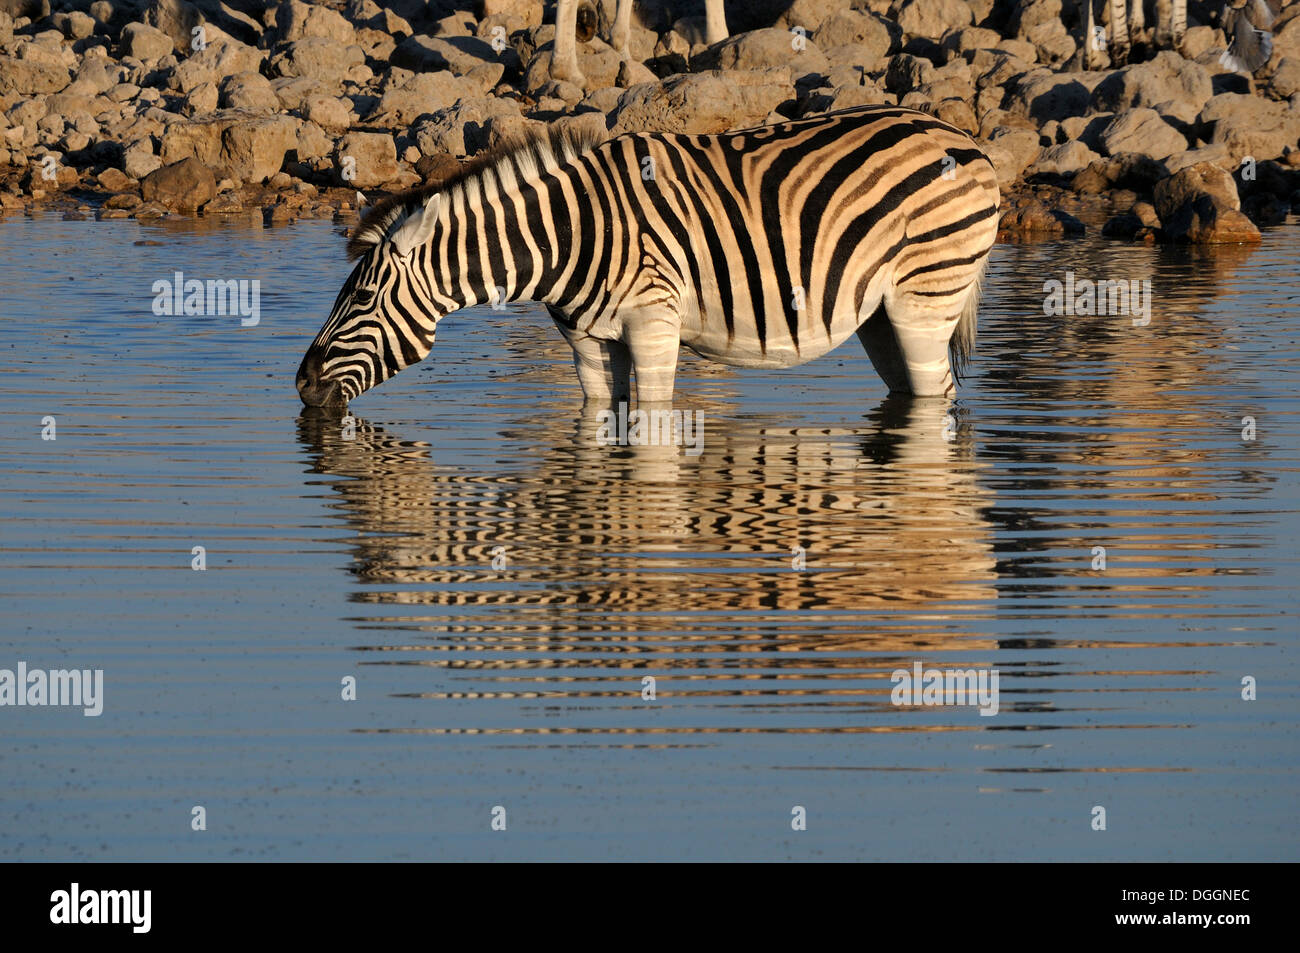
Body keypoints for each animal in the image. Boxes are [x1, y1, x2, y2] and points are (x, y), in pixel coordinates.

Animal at [296, 105, 1001, 411]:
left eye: (361, 298)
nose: (300, 384)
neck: (570, 234)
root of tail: (963, 137)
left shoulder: (655, 325)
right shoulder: (586, 343)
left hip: (925, 298)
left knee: (938, 394)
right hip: (881, 317)